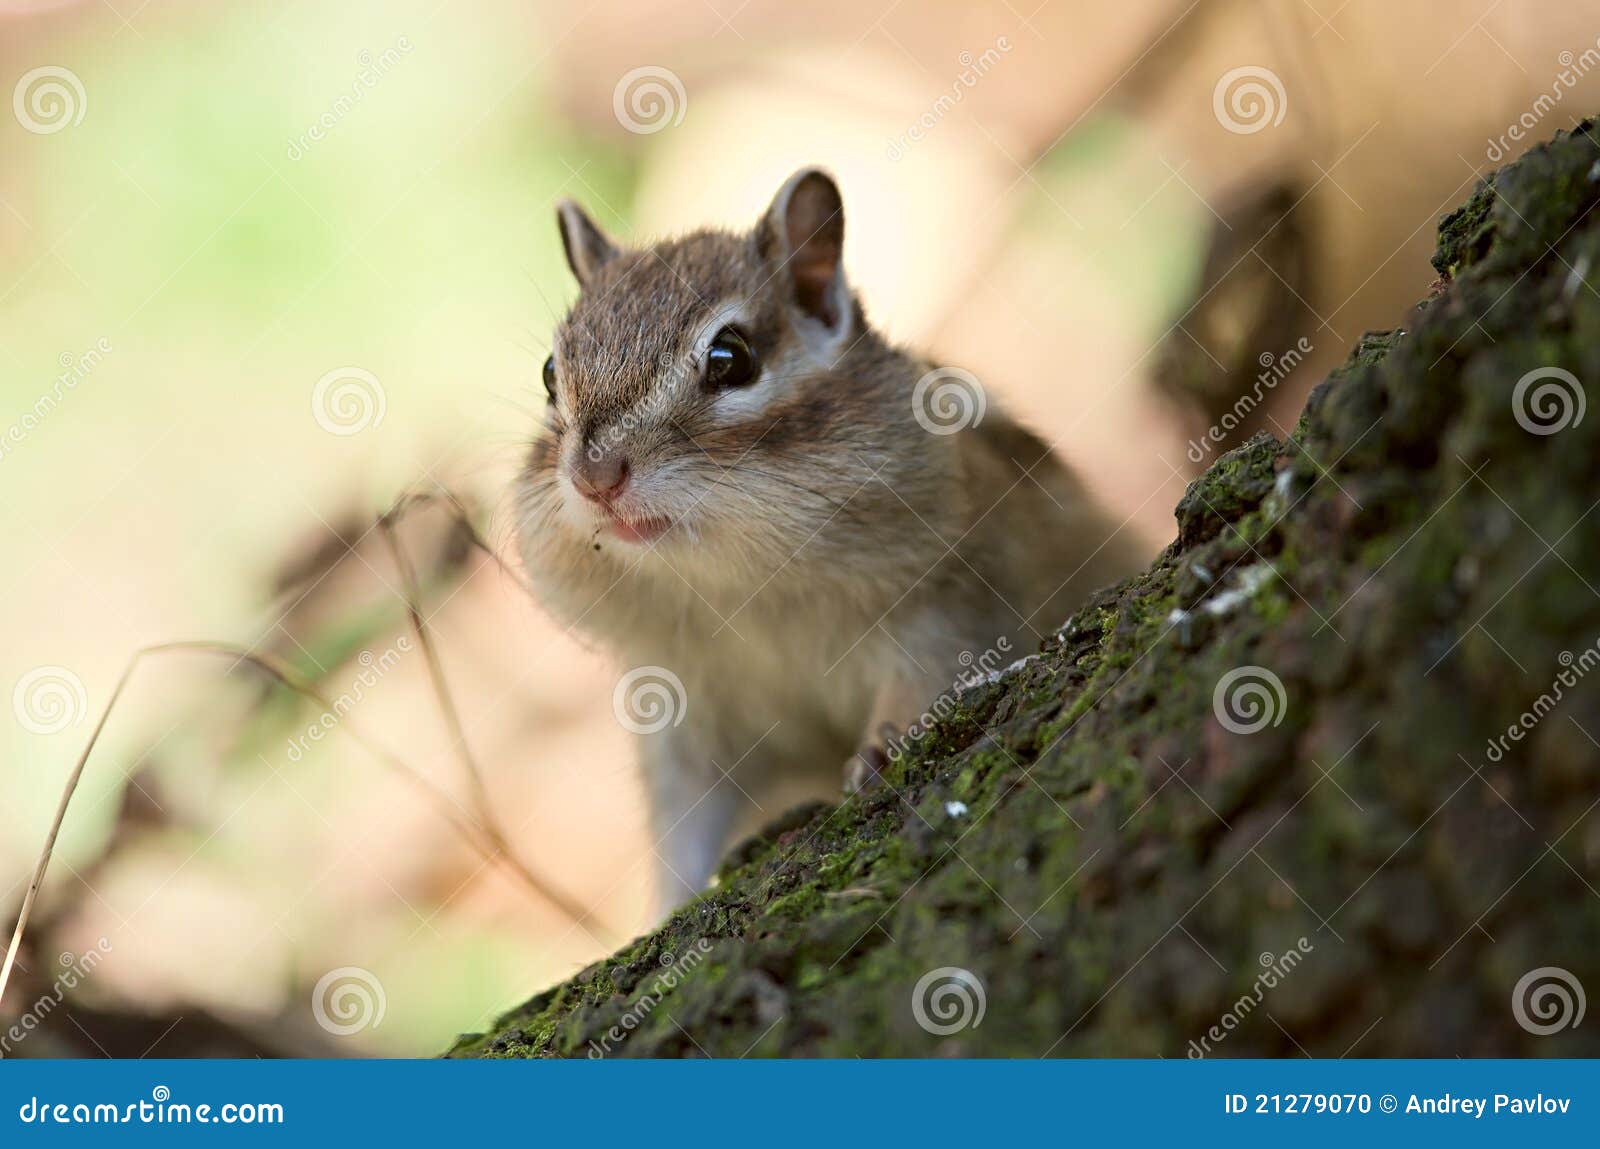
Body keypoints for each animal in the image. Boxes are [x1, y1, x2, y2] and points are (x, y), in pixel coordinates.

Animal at [515, 168, 1142, 917]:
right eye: (549, 373)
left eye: (730, 358)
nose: (595, 476)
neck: (742, 588)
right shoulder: (684, 712)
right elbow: (684, 821)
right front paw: (668, 904)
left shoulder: (951, 602)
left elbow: (927, 677)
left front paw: (880, 748)